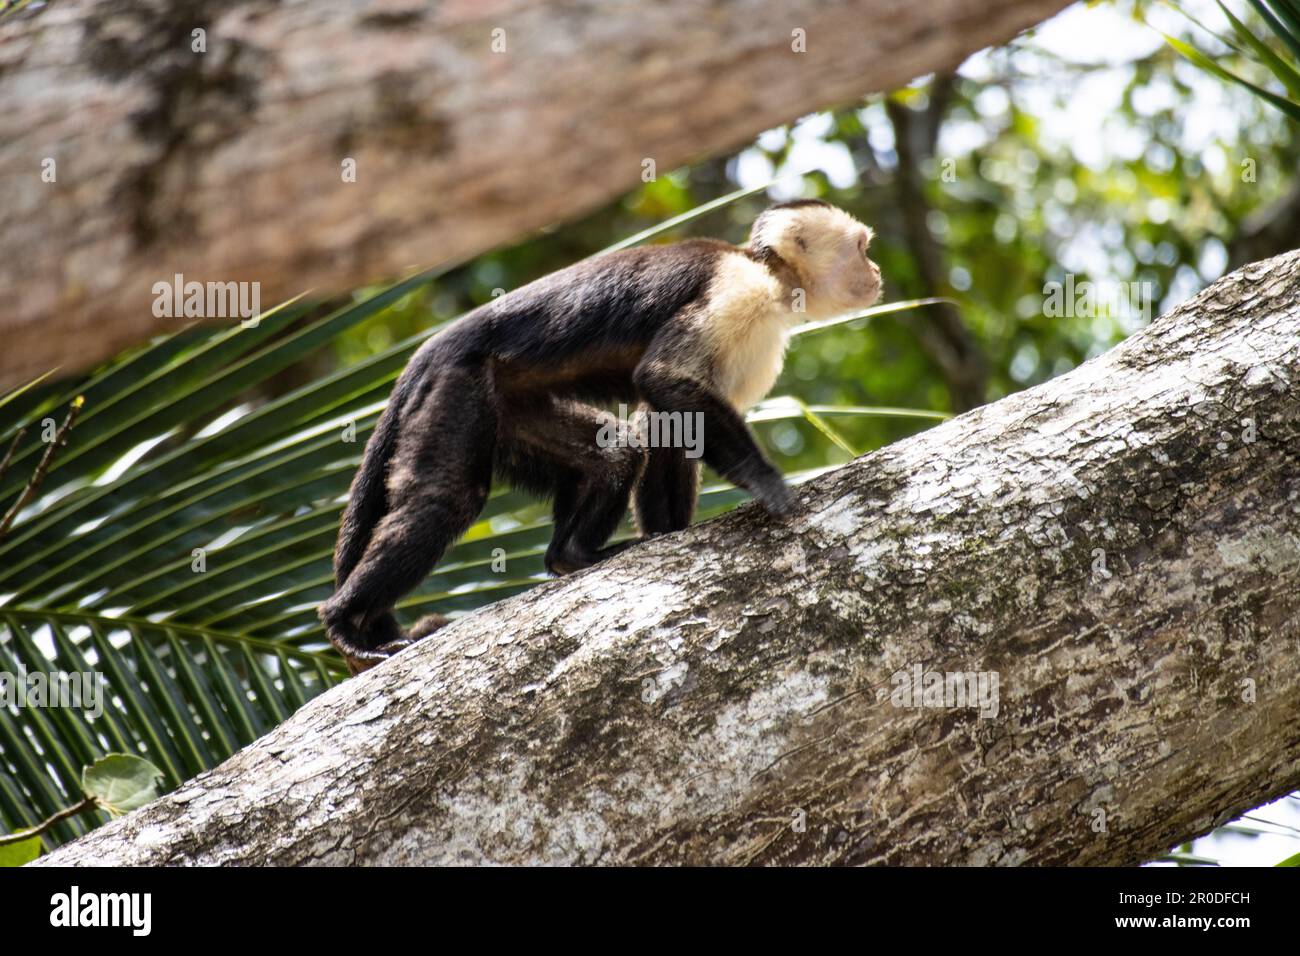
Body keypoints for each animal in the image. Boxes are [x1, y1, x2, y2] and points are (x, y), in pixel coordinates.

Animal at [320, 199, 882, 673]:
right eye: (862, 247)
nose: (876, 272)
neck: (770, 276)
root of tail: (435, 347)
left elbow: (665, 418)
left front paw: (669, 532)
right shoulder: (735, 290)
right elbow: (663, 380)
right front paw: (768, 483)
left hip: (507, 406)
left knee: (613, 455)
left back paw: (570, 556)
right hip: (455, 384)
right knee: (446, 499)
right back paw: (345, 622)